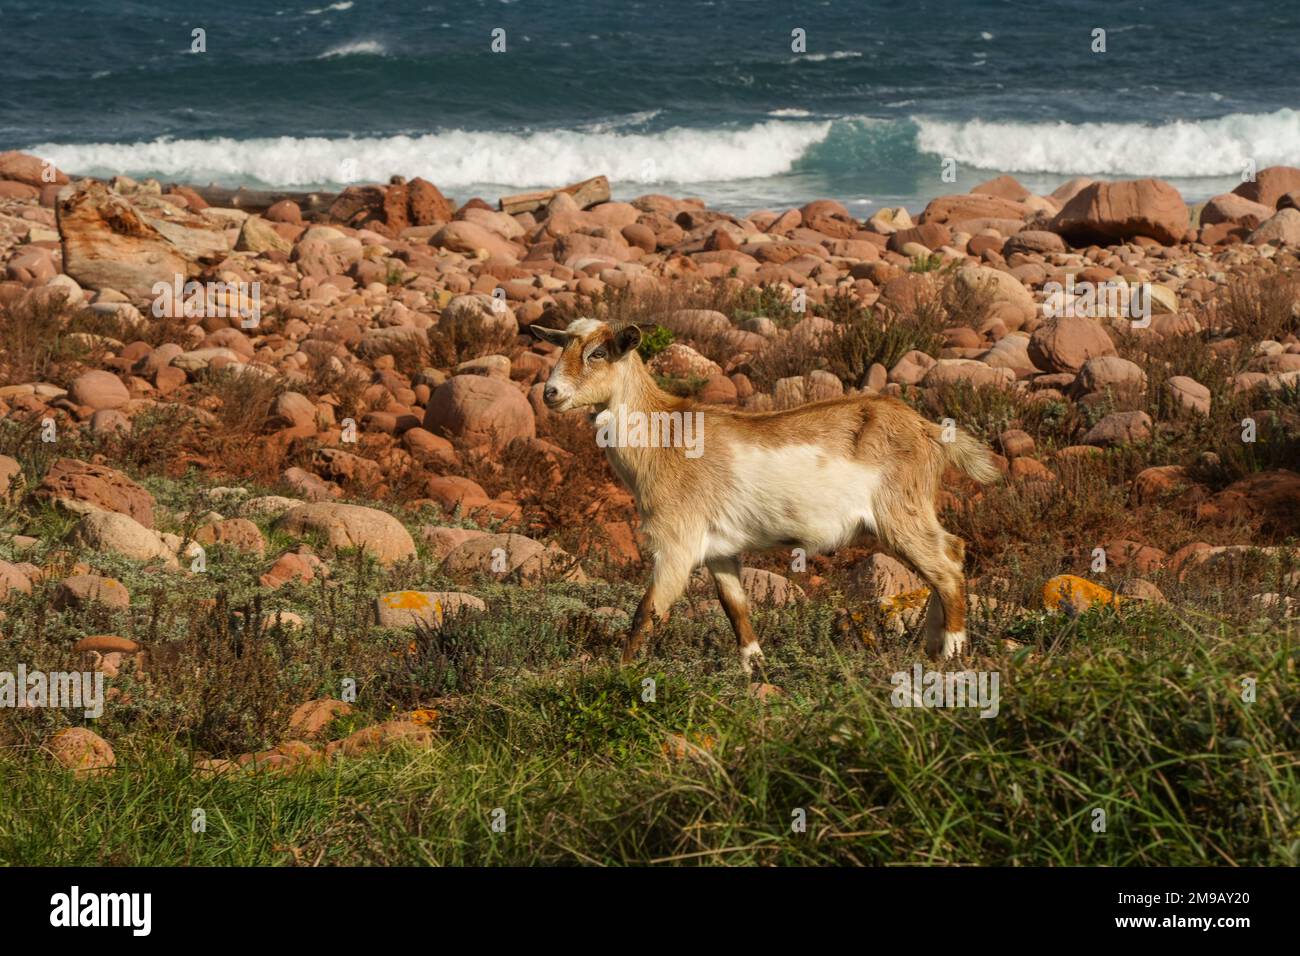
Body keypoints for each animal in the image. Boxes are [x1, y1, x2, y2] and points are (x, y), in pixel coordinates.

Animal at [531, 317, 1000, 675]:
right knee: (949, 554)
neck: (663, 437)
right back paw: (933, 648)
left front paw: (620, 673)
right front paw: (754, 667)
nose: (550, 393)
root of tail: (930, 431)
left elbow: (647, 611)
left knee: (945, 569)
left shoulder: (676, 540)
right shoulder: (719, 548)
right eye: (562, 347)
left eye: (598, 353)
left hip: (899, 511)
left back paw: (953, 653)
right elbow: (734, 605)